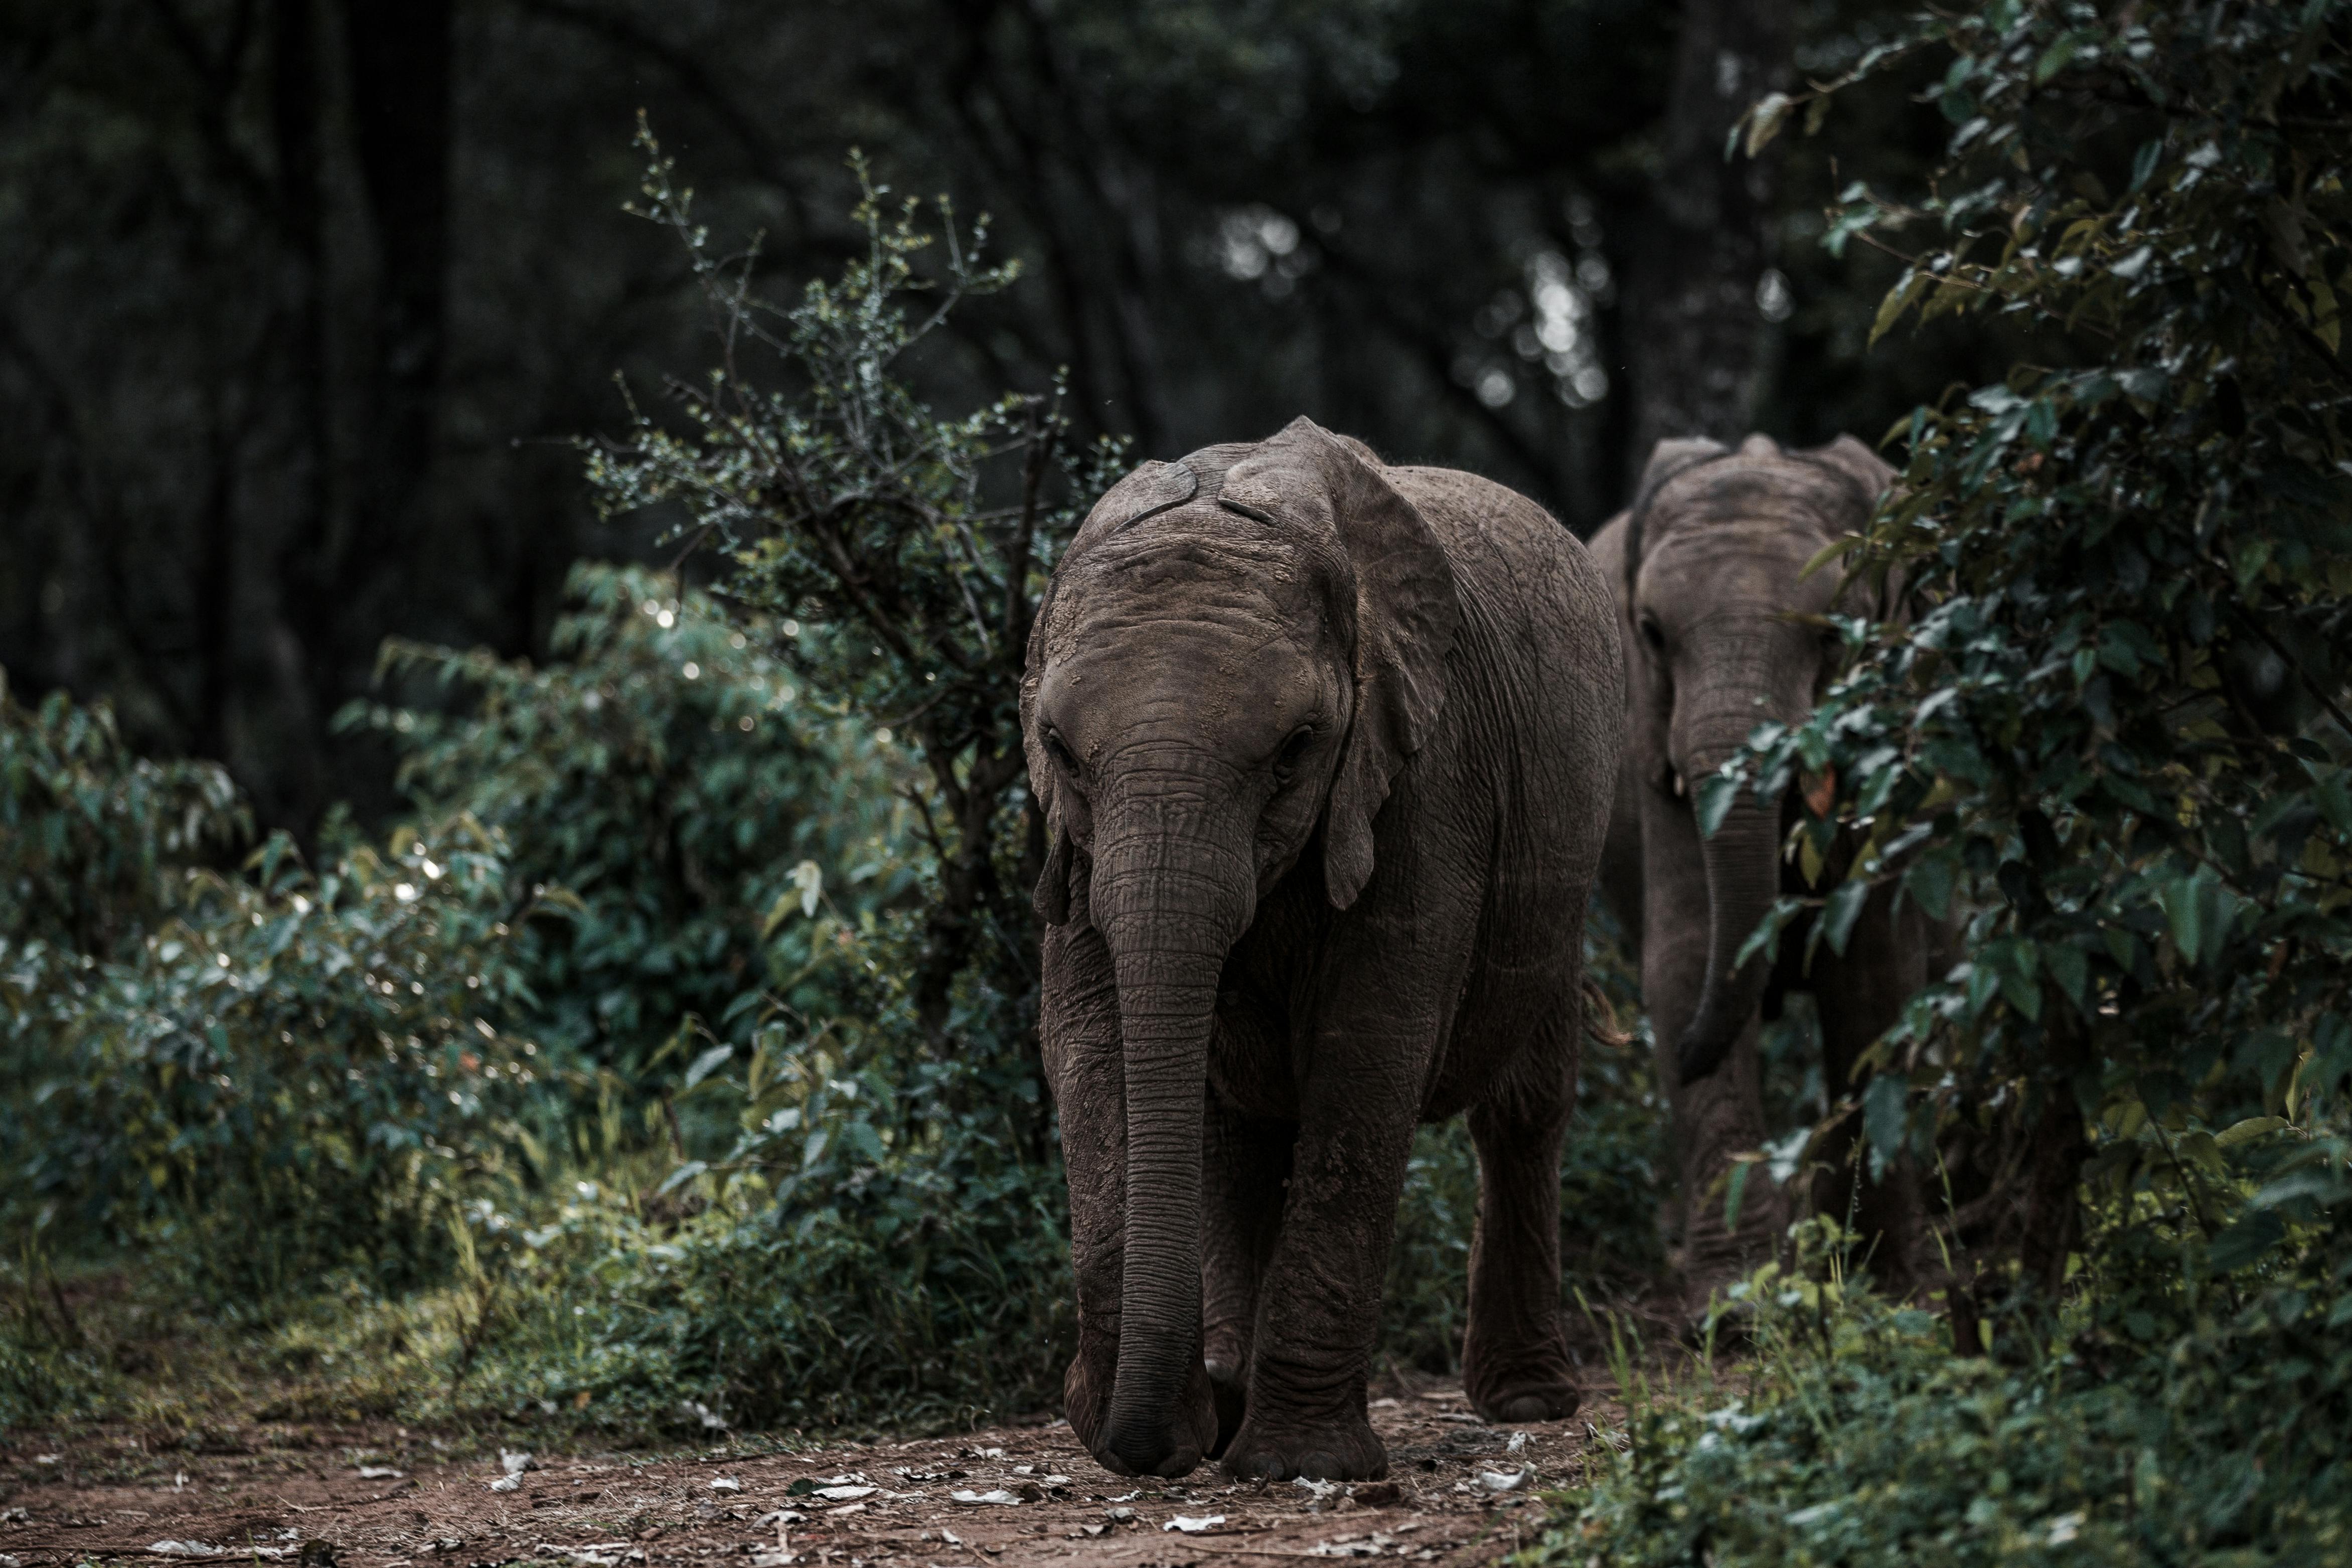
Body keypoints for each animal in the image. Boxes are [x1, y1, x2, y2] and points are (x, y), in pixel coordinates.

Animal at [1021, 417, 1624, 1482]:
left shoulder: (1428, 773)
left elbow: (1365, 1046)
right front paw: (1161, 1424)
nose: (1152, 1439)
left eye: (1296, 746)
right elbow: (1088, 1043)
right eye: (1055, 745)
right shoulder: (1072, 842)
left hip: (1566, 868)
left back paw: (1524, 1399)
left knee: (1522, 1109)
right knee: (1236, 1141)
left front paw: (1298, 1463)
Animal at [1589, 433, 1934, 1305]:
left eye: (1834, 637)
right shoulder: (1649, 740)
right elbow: (1683, 959)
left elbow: (1873, 972)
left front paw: (1884, 1285)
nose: (1671, 1052)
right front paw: (1736, 1304)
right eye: (1650, 633)